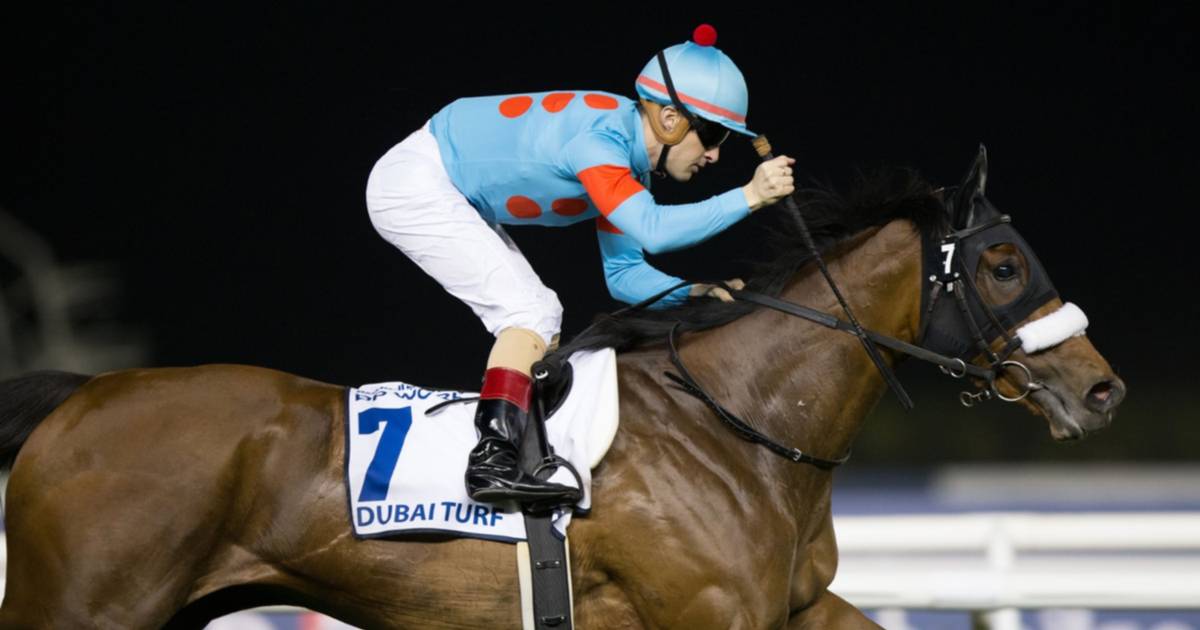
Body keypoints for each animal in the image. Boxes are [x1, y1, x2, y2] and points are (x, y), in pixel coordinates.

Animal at [0, 148, 1125, 629]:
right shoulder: (709, 616)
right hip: (85, 606)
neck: (745, 429)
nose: (1102, 390)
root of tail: (75, 401)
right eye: (1003, 264)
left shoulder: (793, 610)